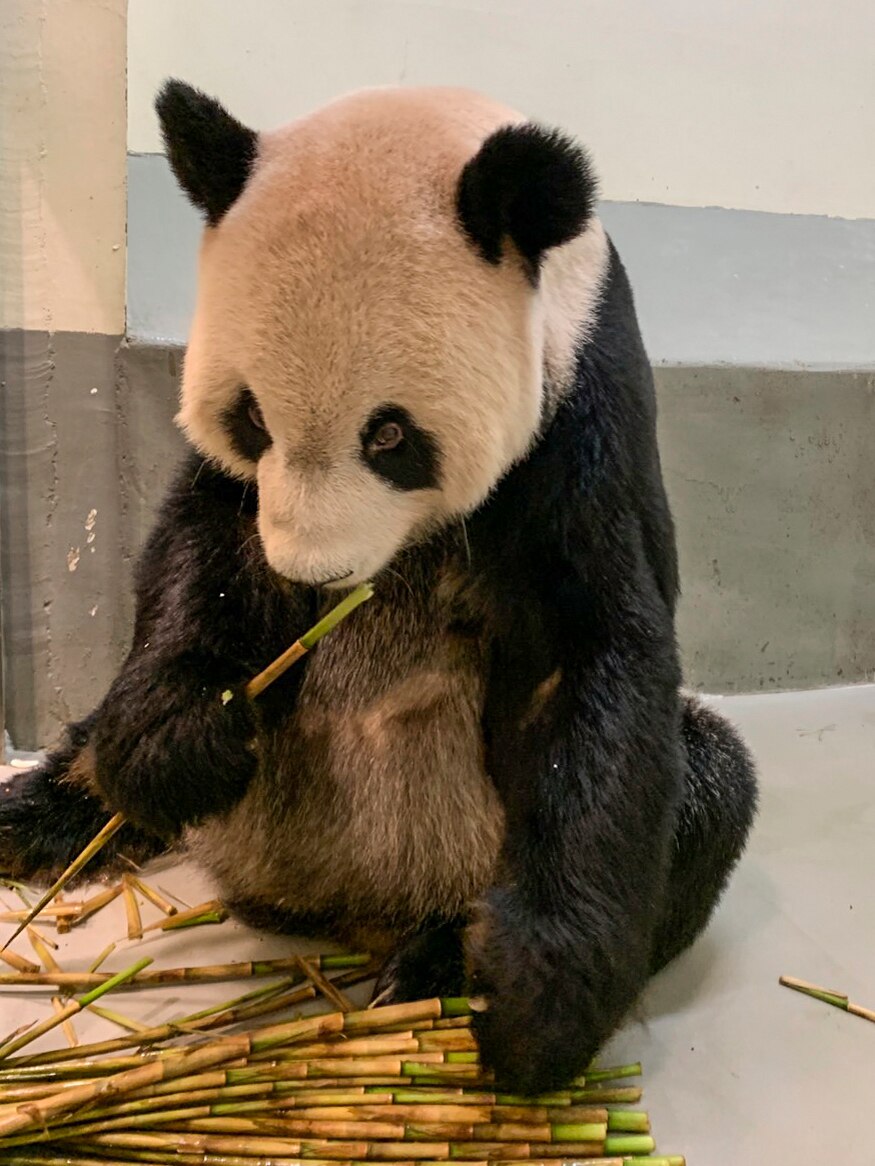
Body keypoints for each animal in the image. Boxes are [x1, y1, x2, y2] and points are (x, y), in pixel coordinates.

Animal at [0, 82, 757, 1092]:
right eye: (251, 416)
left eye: (389, 436)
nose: (310, 573)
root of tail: (337, 902)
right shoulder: (236, 501)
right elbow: (202, 543)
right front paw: (182, 740)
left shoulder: (584, 404)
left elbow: (589, 654)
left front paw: (532, 1001)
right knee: (88, 752)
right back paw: (34, 817)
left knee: (707, 789)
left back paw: (439, 964)